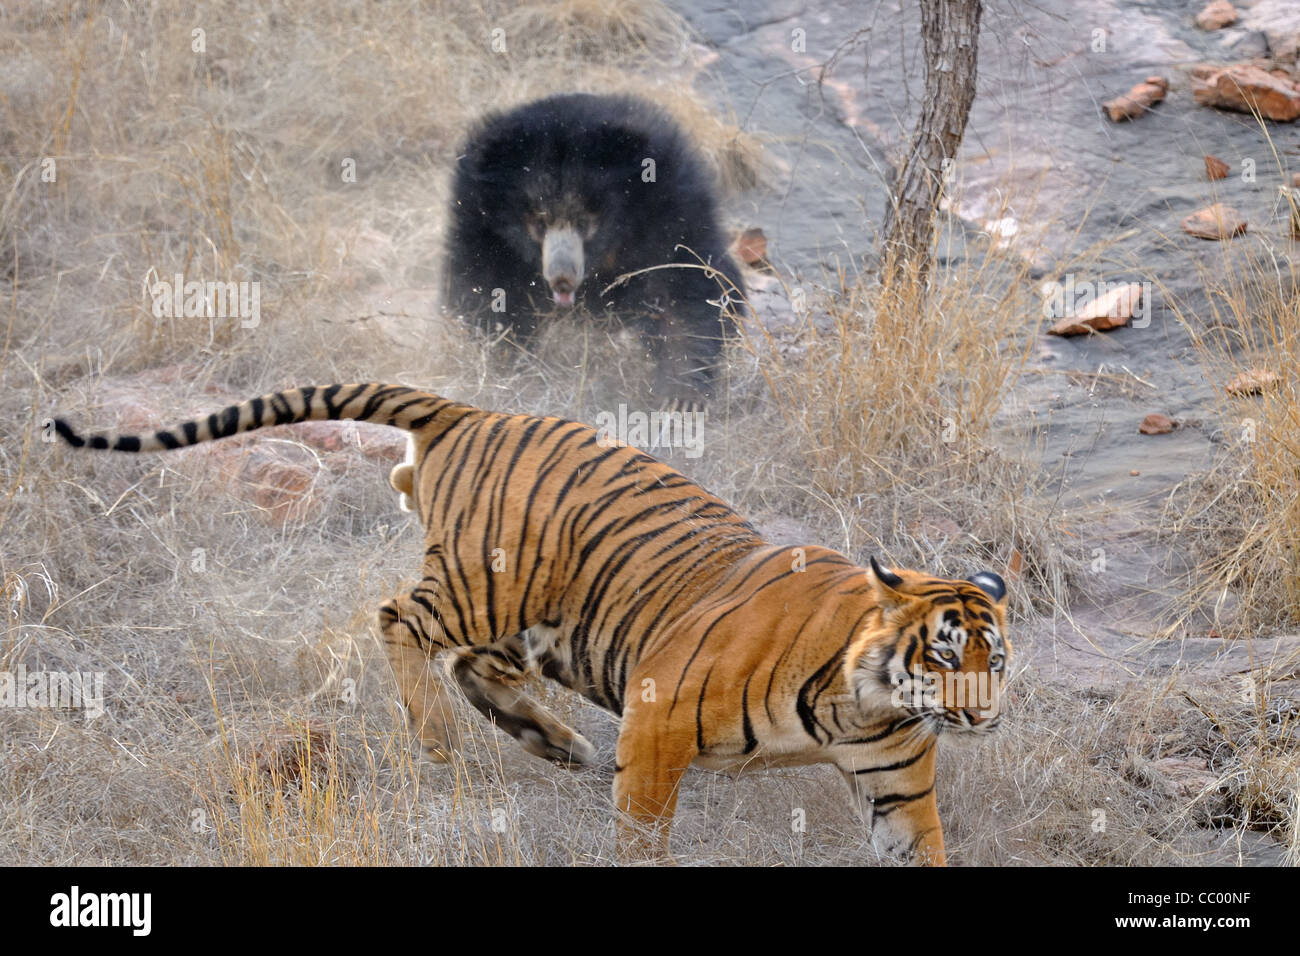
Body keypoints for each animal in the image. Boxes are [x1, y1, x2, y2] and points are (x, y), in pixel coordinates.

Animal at [443, 92, 745, 405]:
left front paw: (681, 396)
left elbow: (687, 291)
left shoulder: (674, 212)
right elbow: (485, 290)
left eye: (585, 222)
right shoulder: (481, 228)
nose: (562, 279)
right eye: (538, 223)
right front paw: (507, 361)